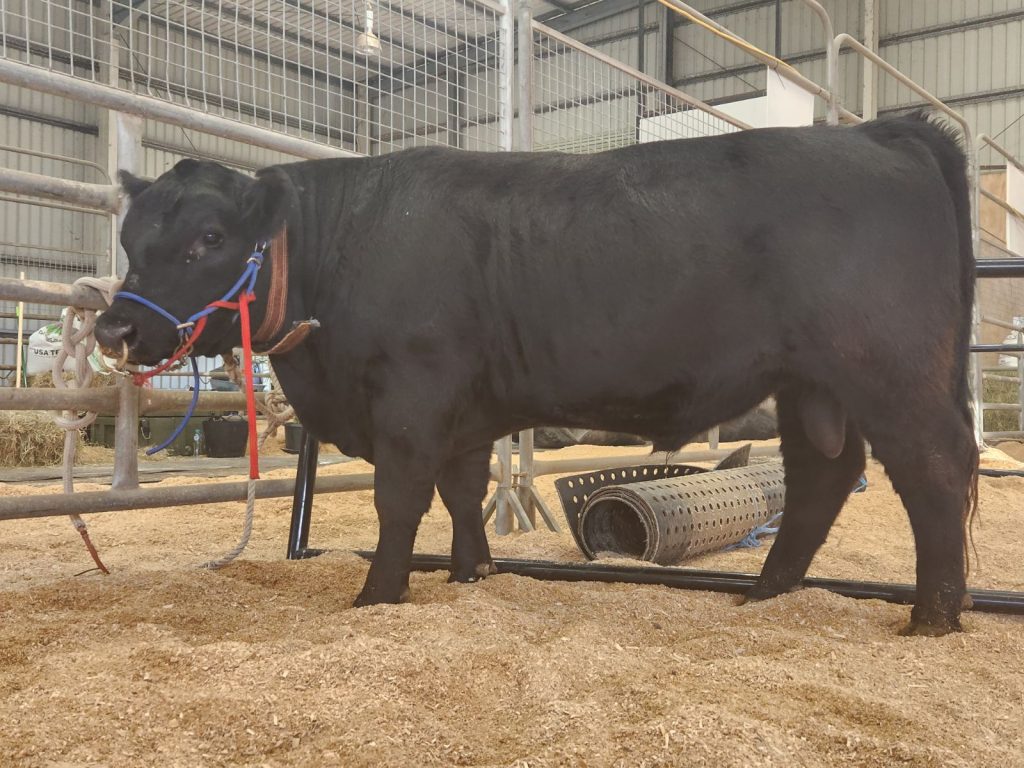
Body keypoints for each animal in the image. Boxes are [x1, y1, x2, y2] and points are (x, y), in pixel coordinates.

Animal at [95, 112, 978, 636]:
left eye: (210, 238)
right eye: (130, 236)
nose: (114, 326)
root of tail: (880, 129)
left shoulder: (411, 396)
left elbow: (400, 499)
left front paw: (378, 596)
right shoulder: (461, 412)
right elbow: (461, 491)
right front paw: (473, 574)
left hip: (888, 368)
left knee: (934, 468)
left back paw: (931, 618)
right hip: (809, 384)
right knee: (824, 473)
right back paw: (767, 592)